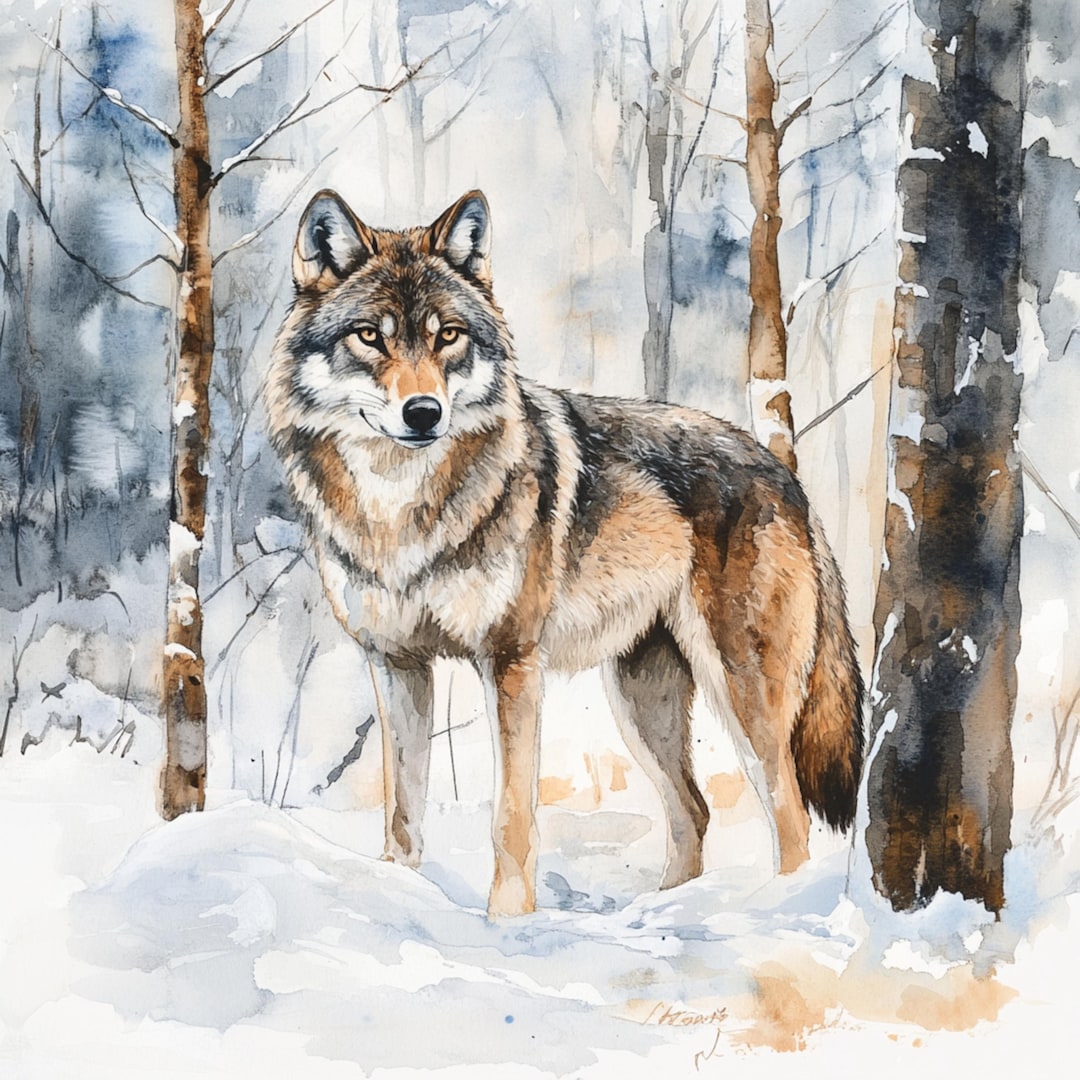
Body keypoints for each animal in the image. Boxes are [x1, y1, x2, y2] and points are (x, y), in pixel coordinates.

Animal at [266, 189, 865, 917]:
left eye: (447, 336)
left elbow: (512, 818)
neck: (400, 511)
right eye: (370, 336)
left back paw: (773, 908)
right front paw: (400, 891)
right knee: (694, 811)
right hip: (641, 697)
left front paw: (507, 923)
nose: (424, 412)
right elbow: (402, 811)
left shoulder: (512, 661)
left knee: (790, 815)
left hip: (741, 692)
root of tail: (785, 475)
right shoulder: (397, 663)